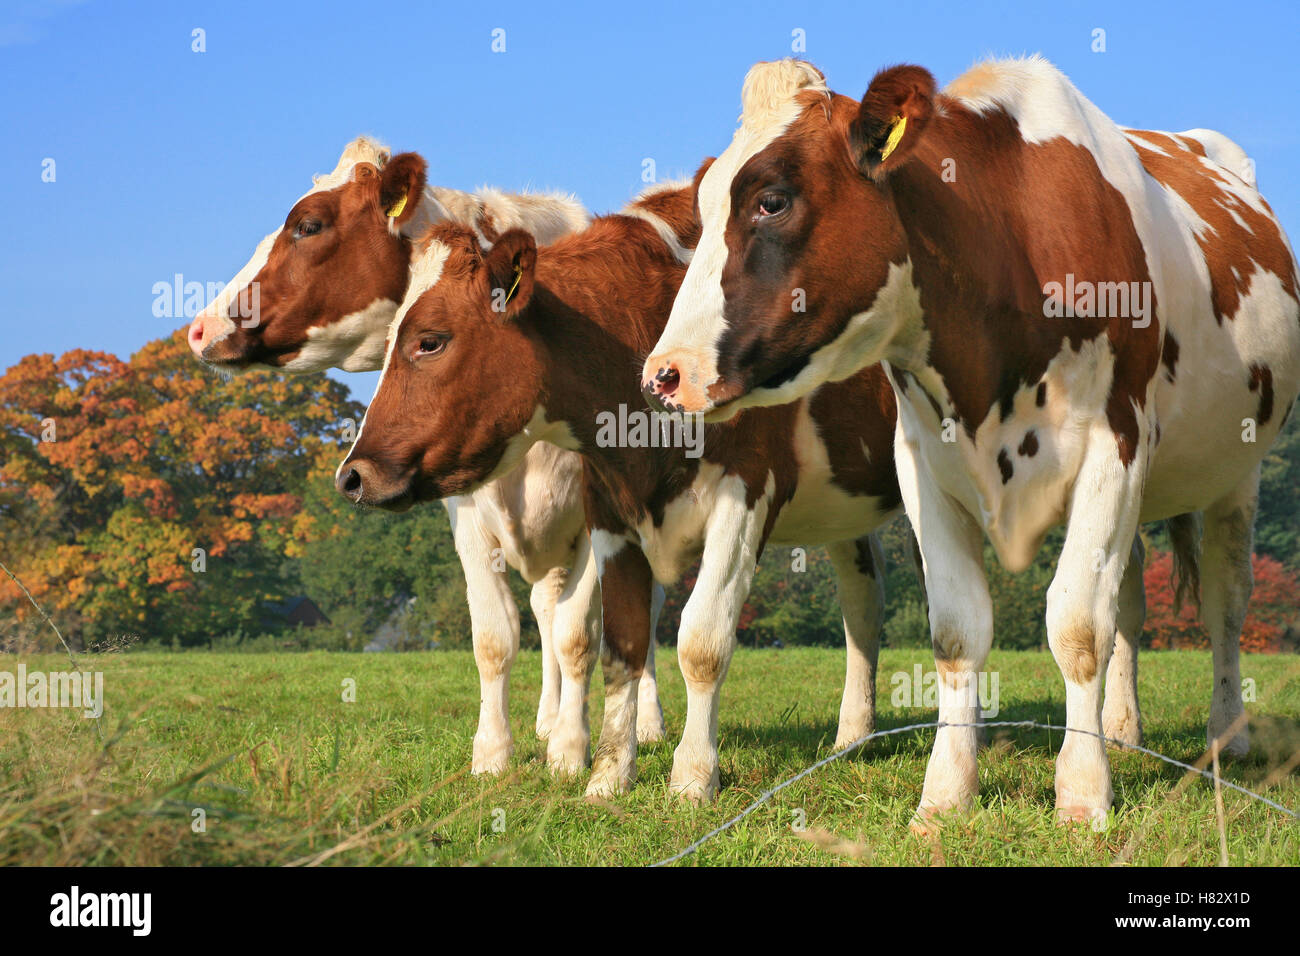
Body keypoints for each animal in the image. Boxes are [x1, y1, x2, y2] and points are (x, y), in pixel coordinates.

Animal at [186, 138, 663, 776]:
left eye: (308, 224)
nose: (199, 328)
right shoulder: (468, 513)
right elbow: (495, 637)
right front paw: (493, 755)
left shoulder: (598, 510)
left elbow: (578, 635)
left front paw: (569, 750)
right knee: (543, 606)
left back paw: (642, 723)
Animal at [642, 58, 1300, 825]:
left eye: (771, 201)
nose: (664, 374)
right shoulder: (925, 464)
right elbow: (959, 631)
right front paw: (946, 794)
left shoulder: (1115, 445)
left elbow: (1078, 624)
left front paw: (1083, 793)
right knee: (1132, 600)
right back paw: (1123, 728)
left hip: (1238, 473)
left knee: (1225, 602)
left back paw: (1228, 737)